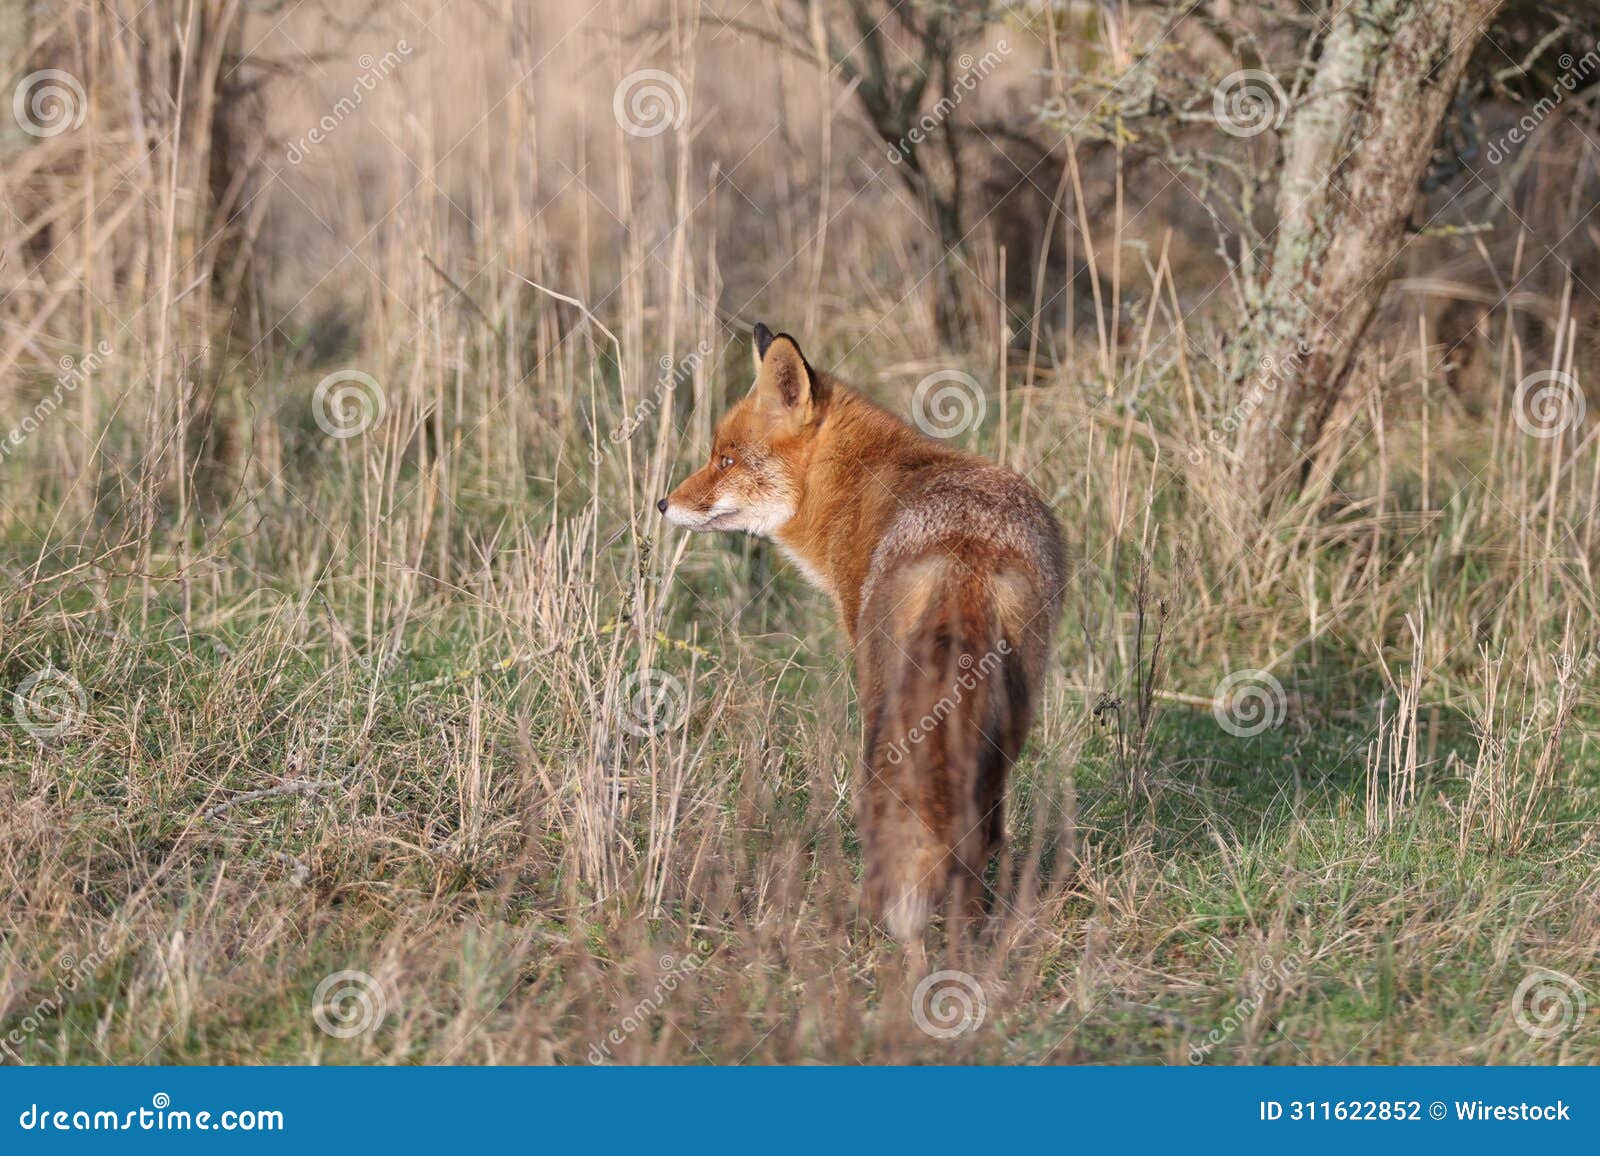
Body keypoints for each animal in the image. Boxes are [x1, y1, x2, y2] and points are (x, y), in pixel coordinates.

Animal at [659, 323, 1064, 942]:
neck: (850, 485)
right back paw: (968, 938)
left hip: (883, 699)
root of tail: (967, 551)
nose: (662, 503)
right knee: (983, 831)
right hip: (1012, 716)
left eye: (725, 459)